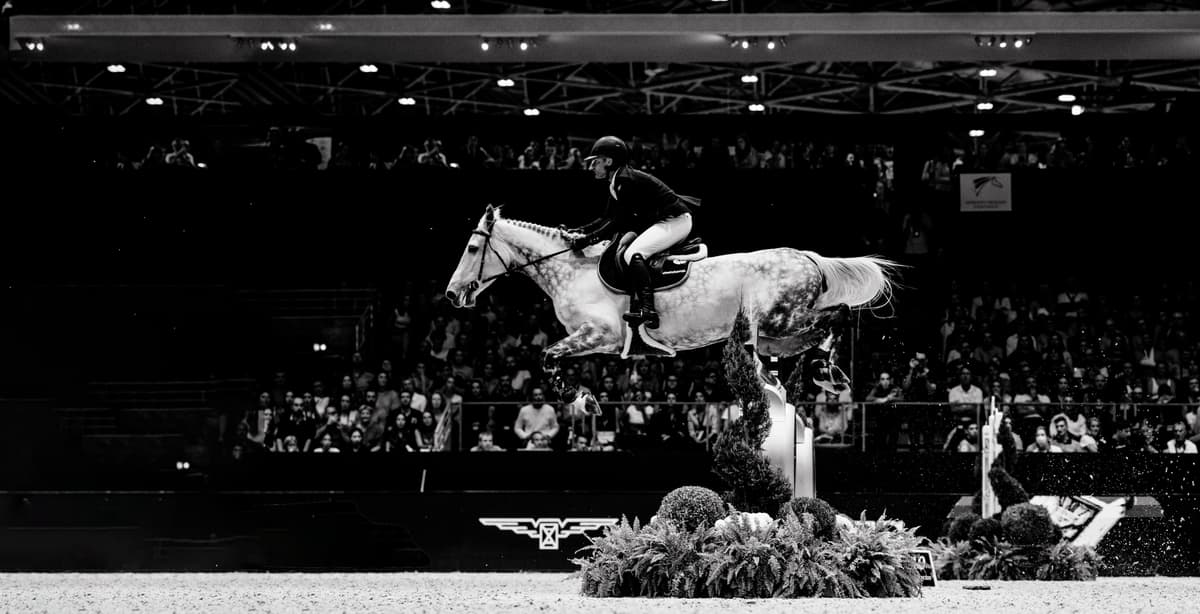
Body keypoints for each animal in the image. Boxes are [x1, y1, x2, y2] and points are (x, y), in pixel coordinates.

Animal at [444, 205, 900, 410]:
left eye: (472, 249)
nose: (452, 294)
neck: (571, 269)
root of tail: (806, 256)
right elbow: (550, 357)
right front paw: (583, 399)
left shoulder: (599, 335)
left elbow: (547, 357)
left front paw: (581, 400)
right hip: (774, 333)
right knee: (810, 336)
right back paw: (822, 376)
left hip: (782, 318)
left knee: (837, 316)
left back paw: (827, 374)